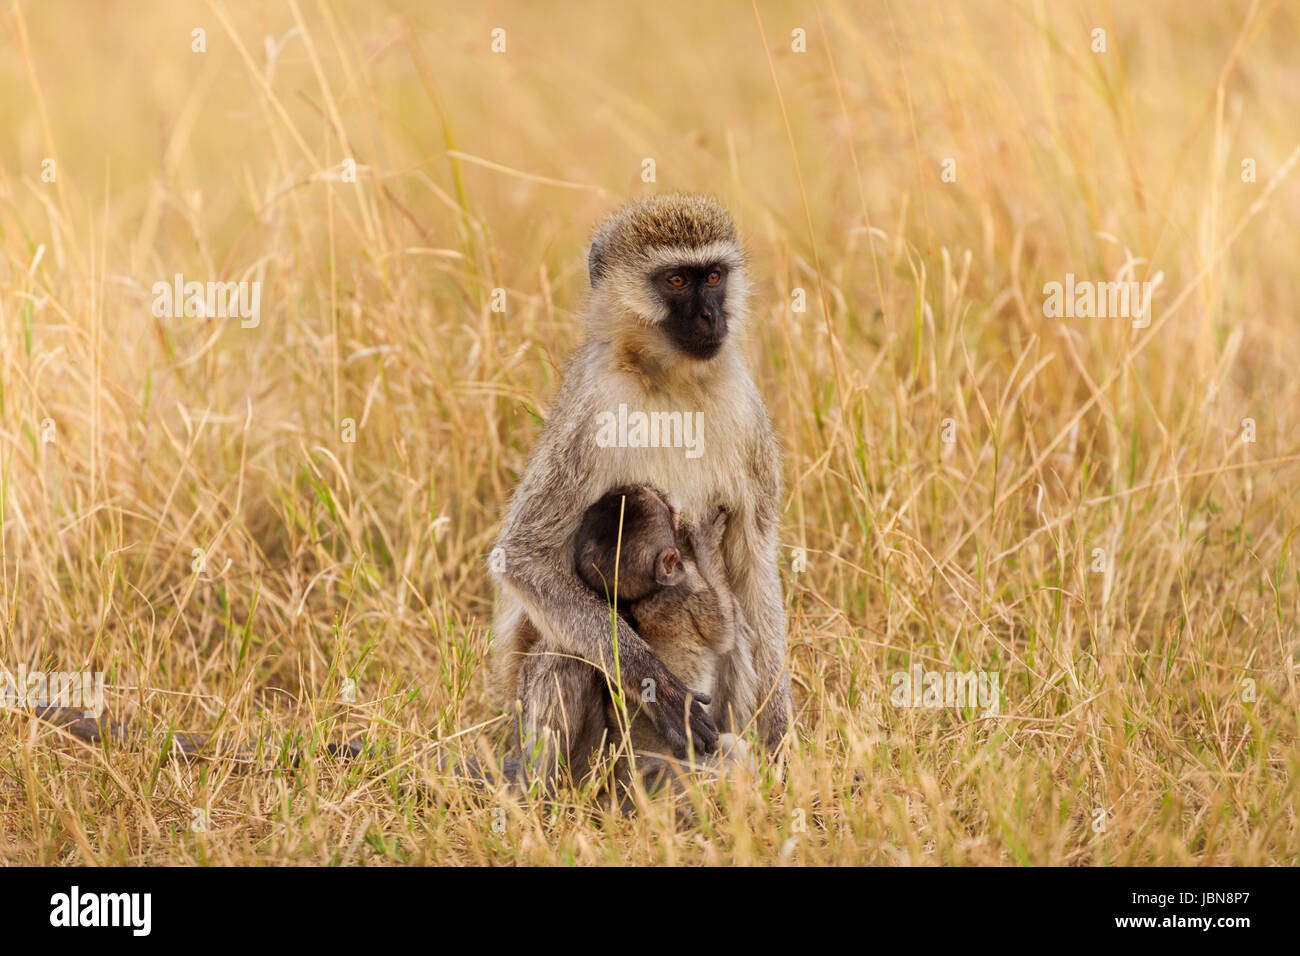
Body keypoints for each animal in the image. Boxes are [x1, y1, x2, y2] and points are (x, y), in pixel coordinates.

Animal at [487, 193, 789, 793]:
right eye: (675, 280)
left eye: (713, 276)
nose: (711, 317)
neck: (670, 379)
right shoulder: (591, 407)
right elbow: (524, 557)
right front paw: (654, 682)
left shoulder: (747, 405)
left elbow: (751, 561)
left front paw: (787, 745)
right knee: (563, 649)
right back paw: (544, 797)